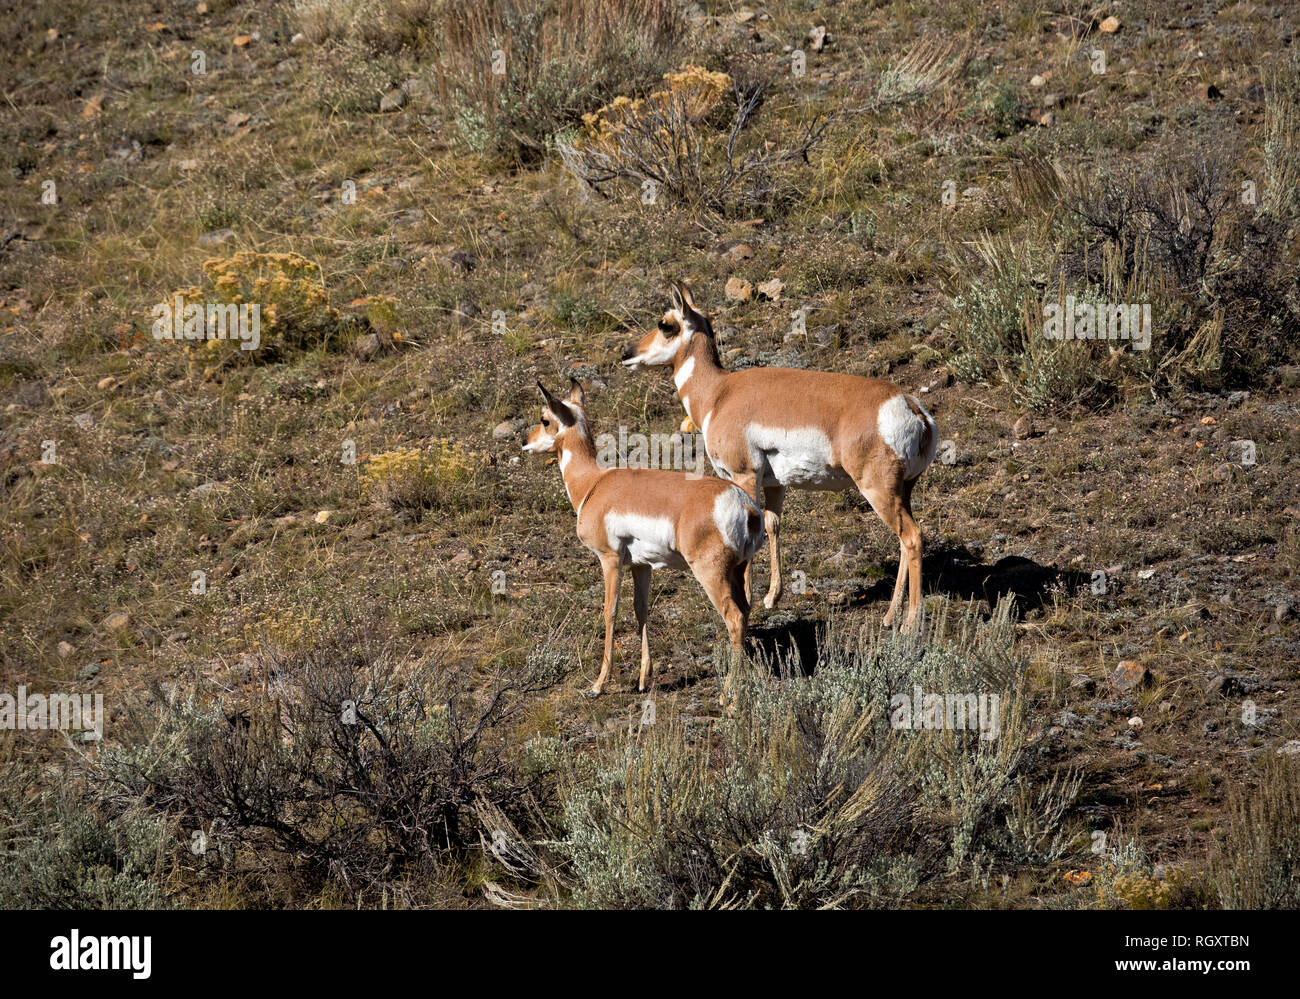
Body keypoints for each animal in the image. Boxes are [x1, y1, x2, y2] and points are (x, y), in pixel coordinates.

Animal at [523, 379, 764, 696]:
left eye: (544, 419)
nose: (525, 442)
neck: (593, 483)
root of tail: (743, 503)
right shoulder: (641, 565)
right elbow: (641, 610)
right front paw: (642, 679)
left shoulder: (611, 559)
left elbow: (610, 612)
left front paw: (598, 685)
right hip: (736, 571)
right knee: (746, 612)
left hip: (711, 573)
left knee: (734, 618)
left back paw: (727, 694)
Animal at [621, 281, 939, 631]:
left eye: (665, 324)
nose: (627, 354)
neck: (719, 393)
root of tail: (908, 404)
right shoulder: (775, 483)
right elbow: (772, 525)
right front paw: (772, 597)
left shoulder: (744, 475)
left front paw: (747, 599)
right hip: (902, 491)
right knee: (904, 539)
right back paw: (890, 615)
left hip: (878, 489)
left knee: (913, 537)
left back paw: (910, 622)